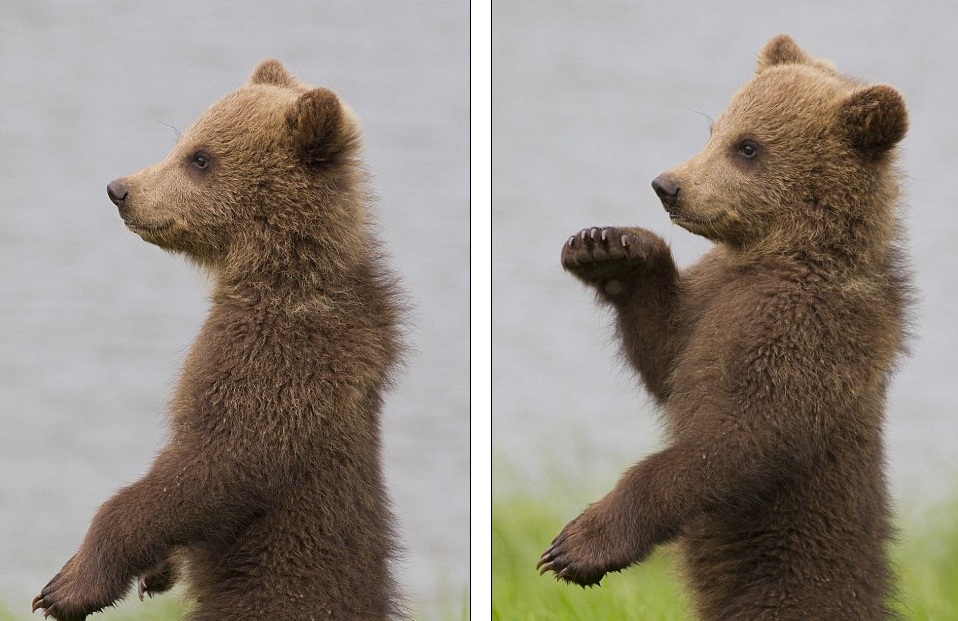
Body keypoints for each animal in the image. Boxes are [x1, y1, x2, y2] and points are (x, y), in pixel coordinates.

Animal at [33, 60, 407, 621]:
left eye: (201, 158)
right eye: (184, 141)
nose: (120, 189)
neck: (276, 277)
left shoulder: (280, 363)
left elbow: (218, 465)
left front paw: (67, 587)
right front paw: (157, 571)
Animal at [537, 35, 911, 620]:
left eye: (749, 146)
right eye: (714, 129)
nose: (667, 185)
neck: (779, 255)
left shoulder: (809, 332)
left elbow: (739, 438)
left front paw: (578, 545)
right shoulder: (712, 302)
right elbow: (667, 355)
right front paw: (607, 248)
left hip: (790, 582)